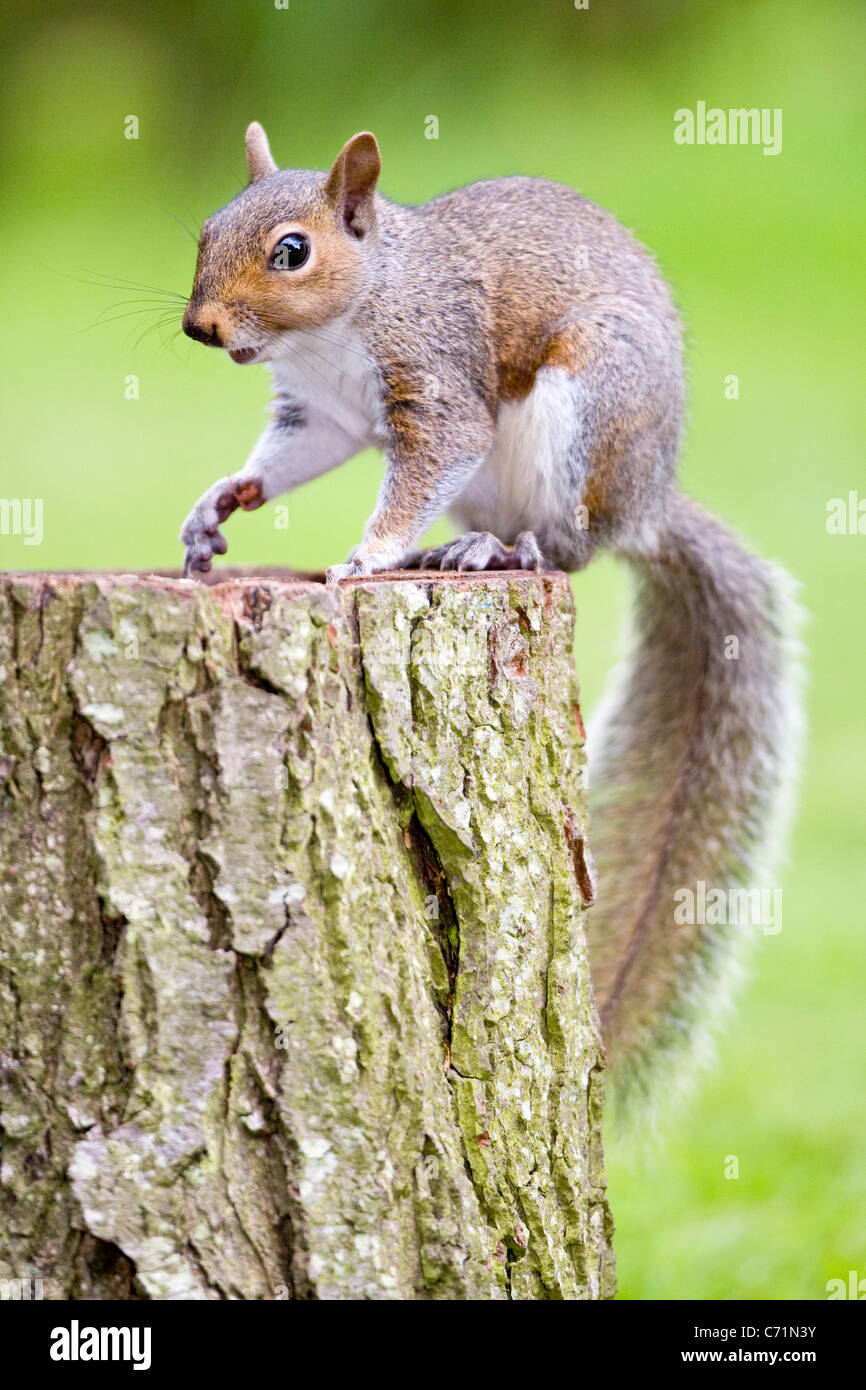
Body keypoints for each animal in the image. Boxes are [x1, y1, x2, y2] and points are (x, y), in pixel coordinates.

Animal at [179, 124, 802, 1108]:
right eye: (206, 229)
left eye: (292, 251)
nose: (199, 326)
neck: (347, 313)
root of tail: (646, 506)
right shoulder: (319, 415)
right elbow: (286, 458)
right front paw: (218, 503)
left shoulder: (437, 380)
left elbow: (425, 465)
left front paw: (368, 557)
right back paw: (467, 548)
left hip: (588, 406)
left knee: (568, 547)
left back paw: (507, 554)